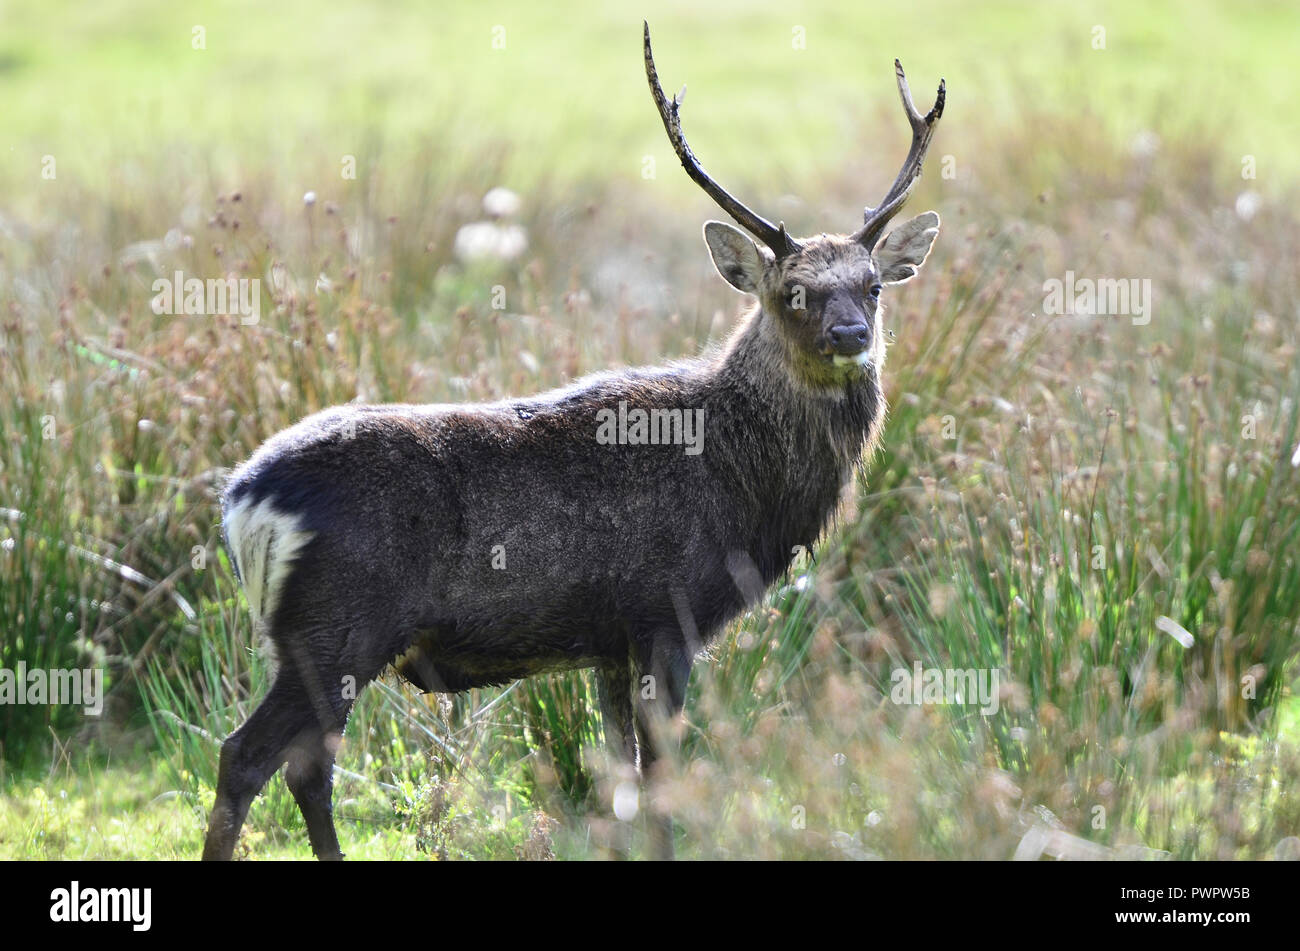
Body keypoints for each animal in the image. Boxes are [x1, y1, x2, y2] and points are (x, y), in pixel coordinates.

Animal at [201, 22, 944, 861]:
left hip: (310, 638)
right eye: (794, 292)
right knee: (251, 755)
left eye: (873, 287)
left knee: (304, 764)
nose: (851, 335)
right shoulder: (664, 611)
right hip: (335, 624)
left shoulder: (608, 641)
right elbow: (661, 781)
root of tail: (242, 499)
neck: (744, 489)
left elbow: (618, 782)